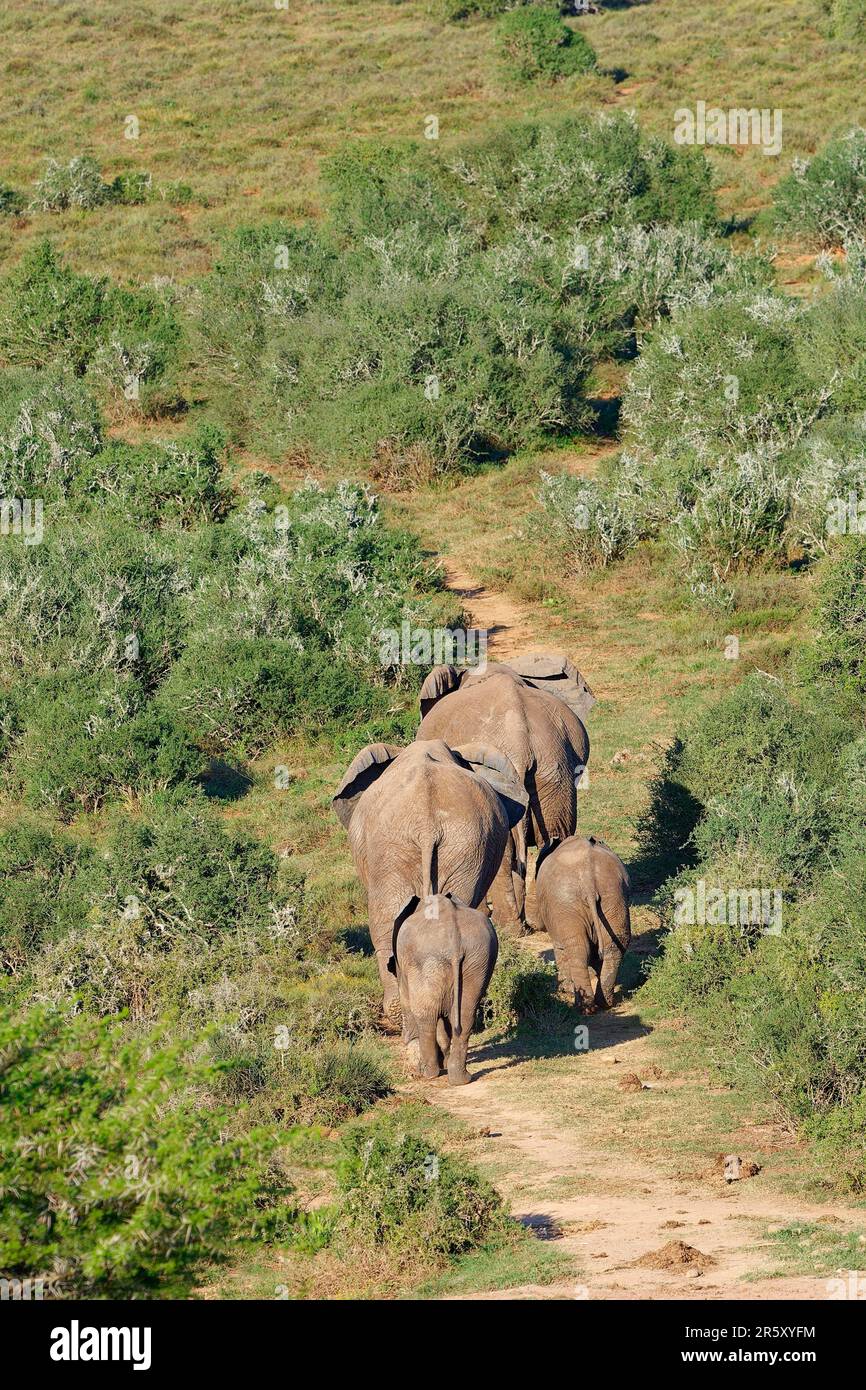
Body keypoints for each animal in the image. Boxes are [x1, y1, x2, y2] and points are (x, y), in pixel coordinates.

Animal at [388, 892, 497, 1085]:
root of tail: (455, 937)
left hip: (427, 960)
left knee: (426, 1015)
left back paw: (428, 1073)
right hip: (478, 957)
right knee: (465, 1015)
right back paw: (461, 1078)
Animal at [415, 654, 595, 934]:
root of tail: (518, 740)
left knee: (502, 847)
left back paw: (506, 925)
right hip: (554, 769)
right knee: (554, 836)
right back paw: (536, 921)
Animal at [535, 834, 631, 1012]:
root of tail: (589, 884)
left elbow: (560, 948)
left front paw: (565, 990)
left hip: (566, 903)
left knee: (578, 950)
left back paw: (585, 1008)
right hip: (614, 896)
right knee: (614, 945)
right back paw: (604, 1003)